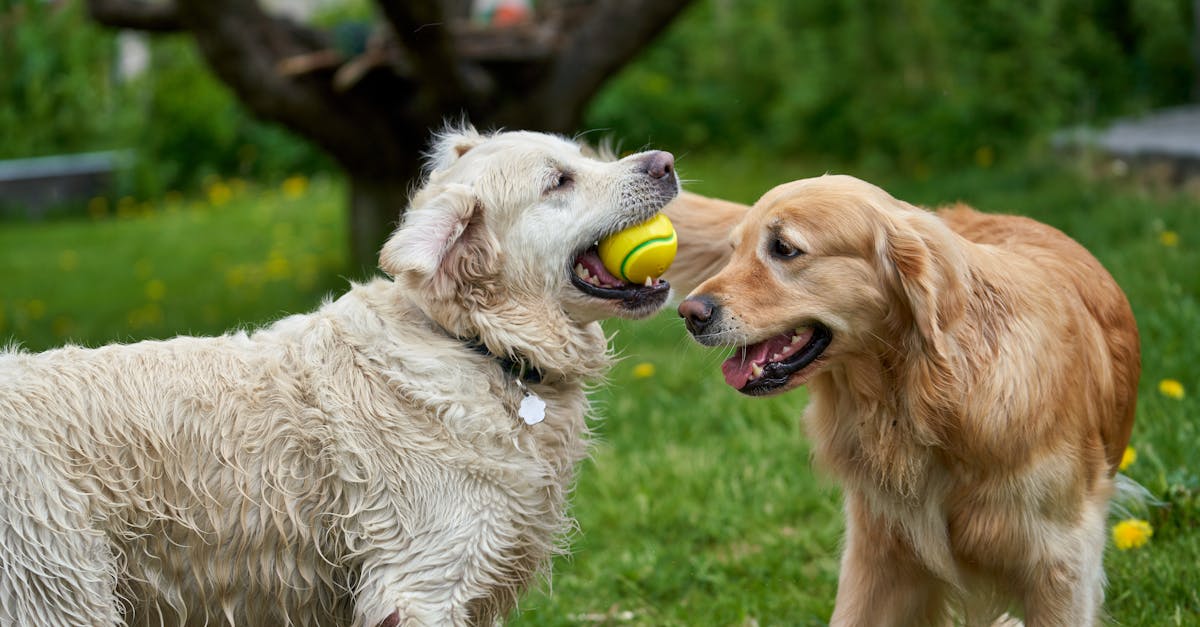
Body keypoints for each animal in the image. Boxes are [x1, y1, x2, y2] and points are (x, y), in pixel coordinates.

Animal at [2, 124, 686, 619]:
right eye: (559, 181)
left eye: (581, 156)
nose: (665, 162)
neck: (476, 345)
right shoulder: (420, 584)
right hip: (57, 586)